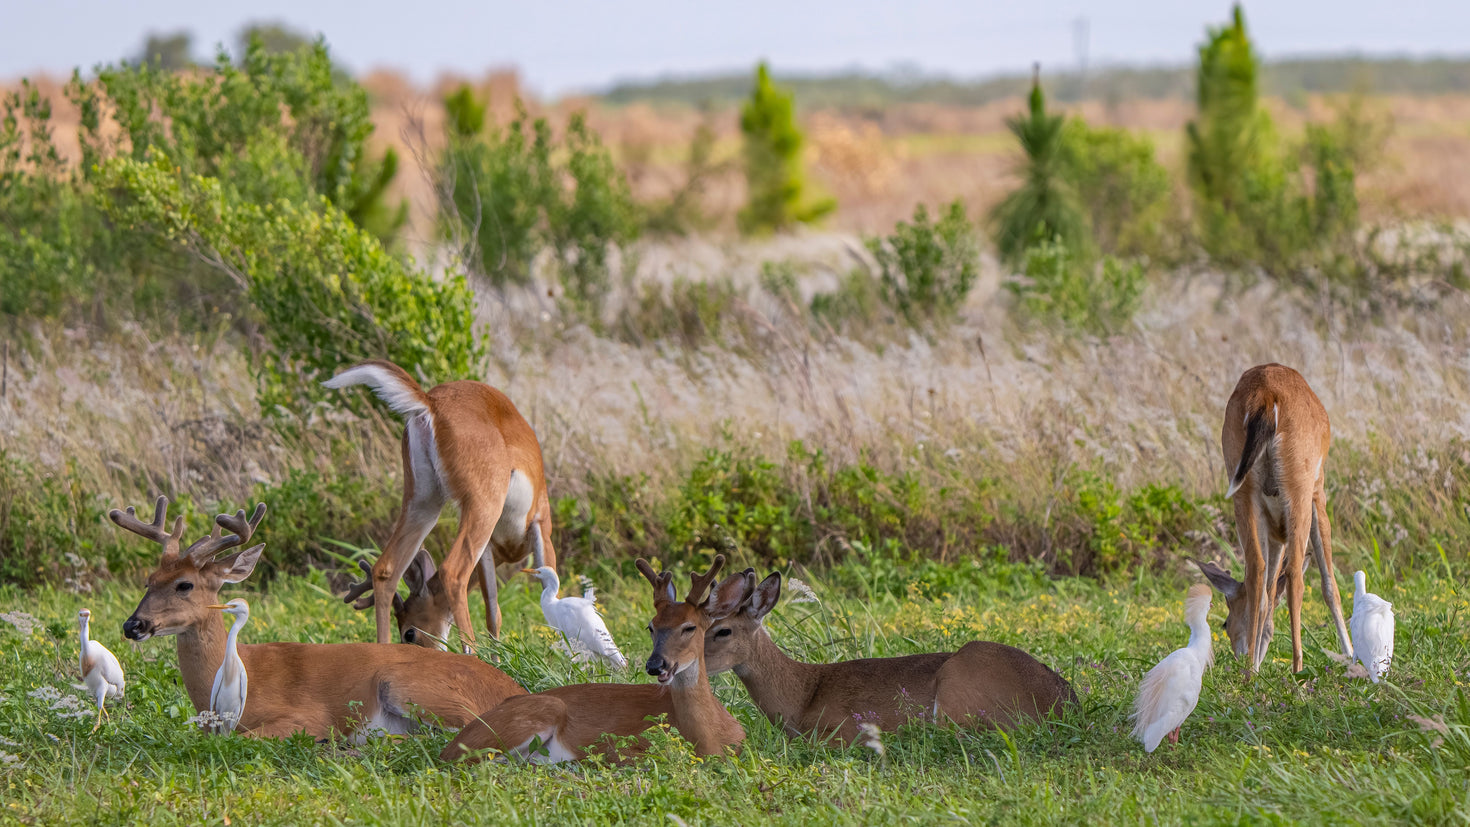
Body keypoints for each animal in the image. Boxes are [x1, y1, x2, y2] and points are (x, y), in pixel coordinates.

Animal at [115, 497, 526, 739]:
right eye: (150, 581)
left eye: (184, 584)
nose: (133, 625)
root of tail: (513, 690)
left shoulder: (305, 717)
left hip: (409, 684)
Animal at [323, 359, 557, 649]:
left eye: (408, 632)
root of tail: (431, 403)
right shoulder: (540, 527)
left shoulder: (490, 548)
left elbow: (494, 614)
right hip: (482, 505)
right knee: (453, 573)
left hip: (423, 501)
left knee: (385, 569)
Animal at [440, 555, 746, 764]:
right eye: (651, 626)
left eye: (690, 627)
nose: (655, 665)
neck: (710, 737)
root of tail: (450, 745)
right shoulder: (625, 746)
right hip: (538, 713)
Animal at [702, 569, 1077, 744]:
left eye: (723, 630)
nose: (691, 662)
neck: (802, 694)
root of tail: (1062, 705)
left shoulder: (840, 730)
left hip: (959, 684)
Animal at [1194, 363, 1353, 674]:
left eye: (1225, 622)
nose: (1238, 654)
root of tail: (1265, 396)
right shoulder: (1318, 495)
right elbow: (1329, 584)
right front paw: (1353, 655)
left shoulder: (1272, 528)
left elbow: (1268, 592)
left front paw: (1257, 659)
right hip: (1298, 493)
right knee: (1294, 575)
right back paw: (1297, 668)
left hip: (1242, 492)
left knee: (1256, 568)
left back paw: (1250, 673)